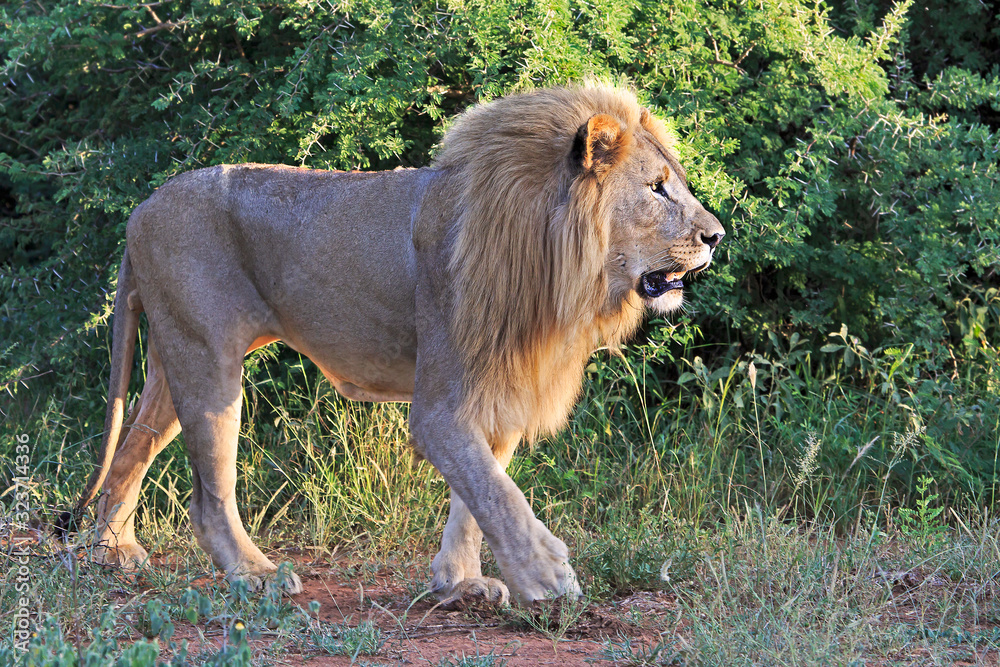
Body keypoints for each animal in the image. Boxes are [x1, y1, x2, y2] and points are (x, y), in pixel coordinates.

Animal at [71, 83, 724, 606]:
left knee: (130, 451)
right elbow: (497, 493)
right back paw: (255, 574)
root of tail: (141, 207)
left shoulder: (500, 391)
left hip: (175, 361)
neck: (555, 263)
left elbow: (476, 495)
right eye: (657, 189)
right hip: (209, 362)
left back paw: (113, 552)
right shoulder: (441, 404)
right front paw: (545, 575)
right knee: (209, 496)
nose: (716, 236)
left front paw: (461, 582)